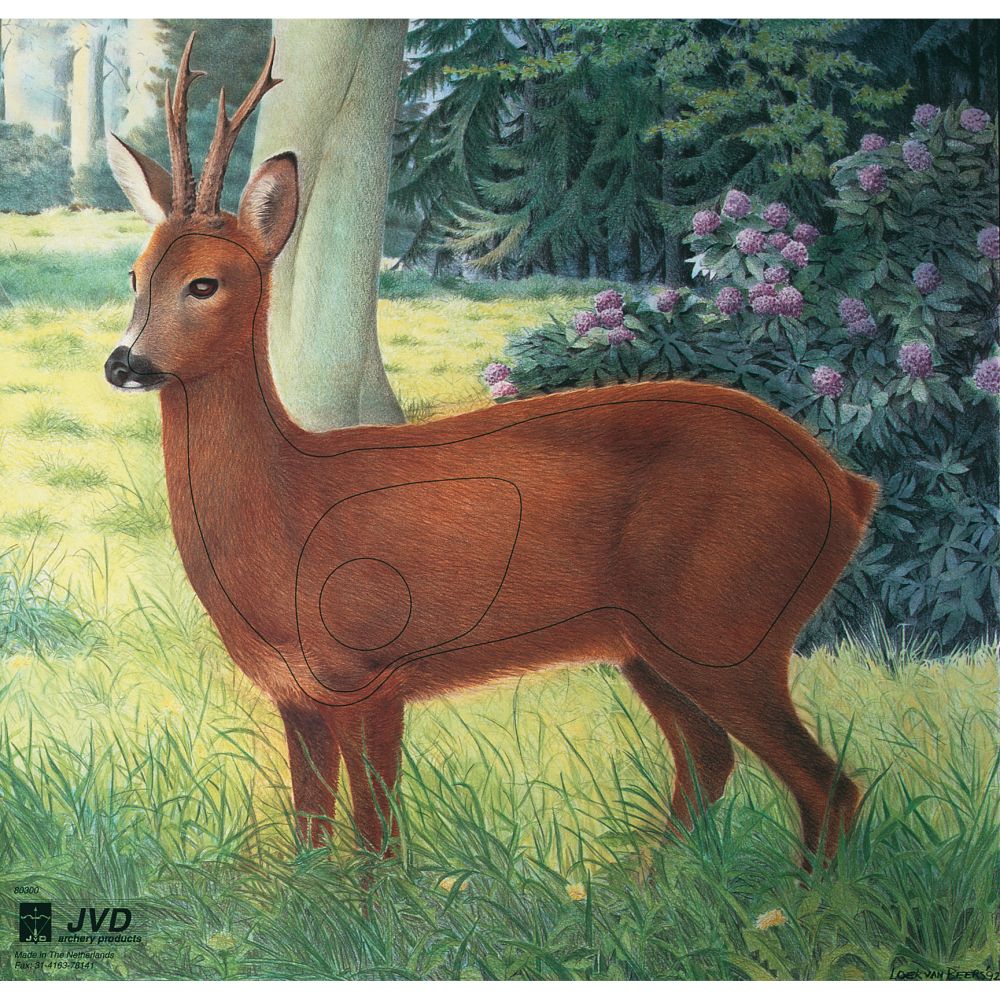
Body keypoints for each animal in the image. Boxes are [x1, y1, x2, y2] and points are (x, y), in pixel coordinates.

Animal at [104, 34, 879, 864]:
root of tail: (849, 488)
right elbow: (311, 835)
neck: (285, 509)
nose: (123, 363)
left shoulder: (371, 668)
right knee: (711, 761)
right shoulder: (296, 691)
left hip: (730, 627)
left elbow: (376, 838)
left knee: (827, 783)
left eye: (205, 284)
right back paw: (645, 883)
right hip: (656, 645)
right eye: (136, 275)